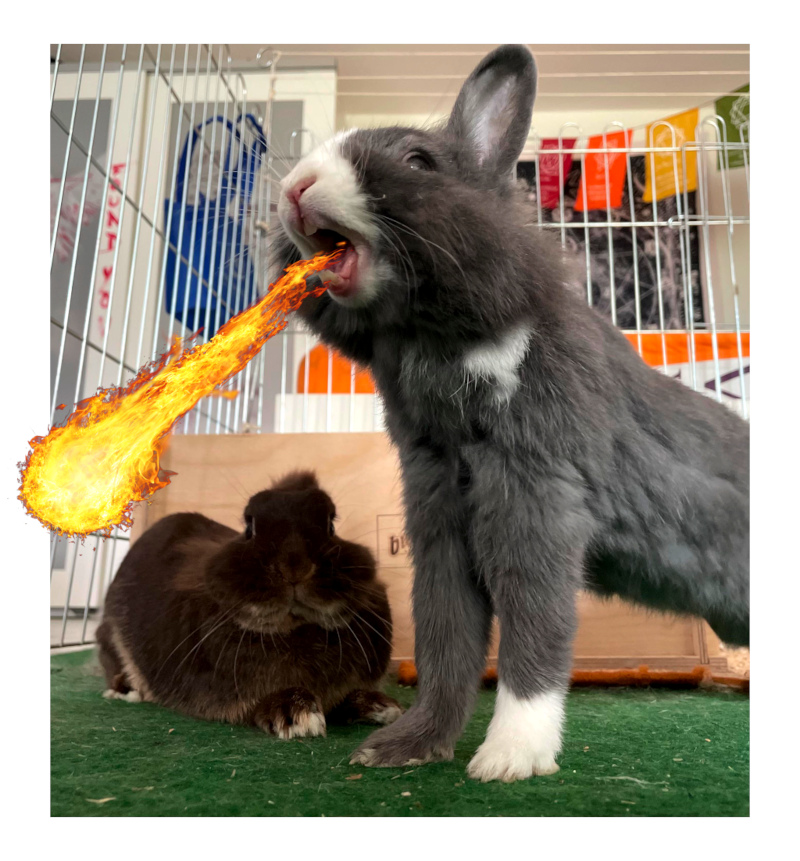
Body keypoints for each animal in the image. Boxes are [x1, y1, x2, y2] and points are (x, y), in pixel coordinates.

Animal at [96, 471, 402, 738]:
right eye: (249, 527)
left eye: (331, 525)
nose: (294, 566)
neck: (296, 629)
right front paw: (296, 714)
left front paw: (381, 706)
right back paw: (125, 690)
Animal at [272, 45, 749, 782]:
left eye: (418, 162)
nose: (298, 185)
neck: (442, 344)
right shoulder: (439, 512)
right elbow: (445, 638)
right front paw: (406, 746)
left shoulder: (537, 496)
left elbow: (535, 626)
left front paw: (509, 756)